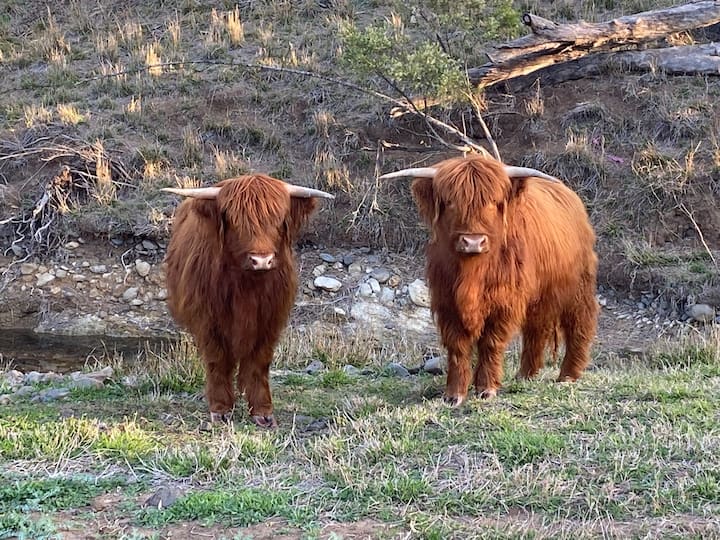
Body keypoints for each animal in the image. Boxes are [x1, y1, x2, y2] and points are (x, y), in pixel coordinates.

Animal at [162, 174, 334, 428]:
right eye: (235, 221)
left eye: (278, 219)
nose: (261, 260)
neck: (247, 287)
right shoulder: (208, 321)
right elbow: (218, 362)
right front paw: (221, 409)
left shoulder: (270, 321)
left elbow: (258, 364)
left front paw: (263, 412)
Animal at [380, 154, 598, 406]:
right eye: (451, 202)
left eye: (493, 201)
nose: (473, 242)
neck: (473, 272)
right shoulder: (447, 302)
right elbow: (457, 347)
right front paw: (454, 394)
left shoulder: (504, 302)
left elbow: (491, 343)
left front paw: (487, 389)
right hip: (541, 296)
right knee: (536, 329)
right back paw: (526, 375)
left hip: (578, 286)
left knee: (579, 323)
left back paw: (568, 375)